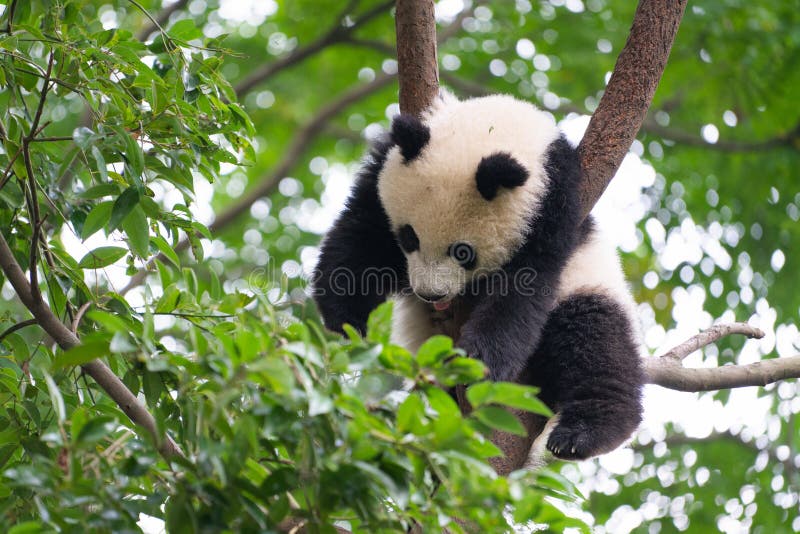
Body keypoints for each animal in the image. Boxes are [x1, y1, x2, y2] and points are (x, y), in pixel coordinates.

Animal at [313, 91, 644, 462]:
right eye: (410, 237)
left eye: (463, 252)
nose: (430, 295)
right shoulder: (381, 172)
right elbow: (362, 236)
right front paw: (347, 320)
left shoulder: (554, 209)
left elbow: (522, 291)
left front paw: (477, 361)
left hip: (590, 285)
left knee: (595, 340)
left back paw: (583, 433)